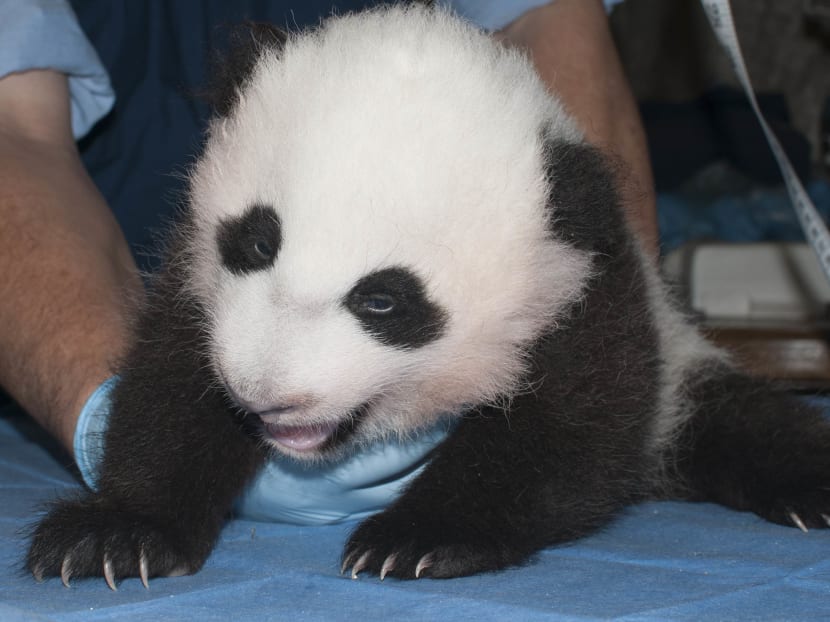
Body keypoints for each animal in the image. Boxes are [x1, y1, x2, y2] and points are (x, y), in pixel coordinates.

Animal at [27, 4, 830, 587]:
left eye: (384, 301)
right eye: (256, 242)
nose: (265, 395)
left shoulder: (589, 296)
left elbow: (569, 434)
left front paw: (417, 540)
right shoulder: (200, 286)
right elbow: (170, 390)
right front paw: (118, 533)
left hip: (681, 366)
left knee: (740, 421)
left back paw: (806, 490)